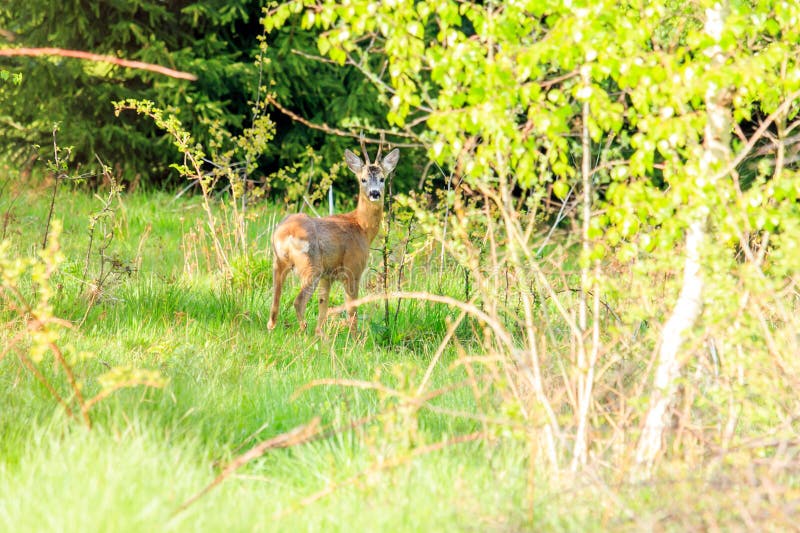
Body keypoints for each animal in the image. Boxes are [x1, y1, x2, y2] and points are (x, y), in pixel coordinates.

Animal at [267, 139, 400, 336]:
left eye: (382, 179)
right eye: (363, 179)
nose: (375, 193)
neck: (361, 227)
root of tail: (285, 233)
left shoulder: (327, 277)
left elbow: (323, 306)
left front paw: (321, 335)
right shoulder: (353, 268)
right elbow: (352, 309)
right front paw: (354, 337)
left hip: (279, 263)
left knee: (275, 301)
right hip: (311, 265)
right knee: (298, 301)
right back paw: (304, 331)